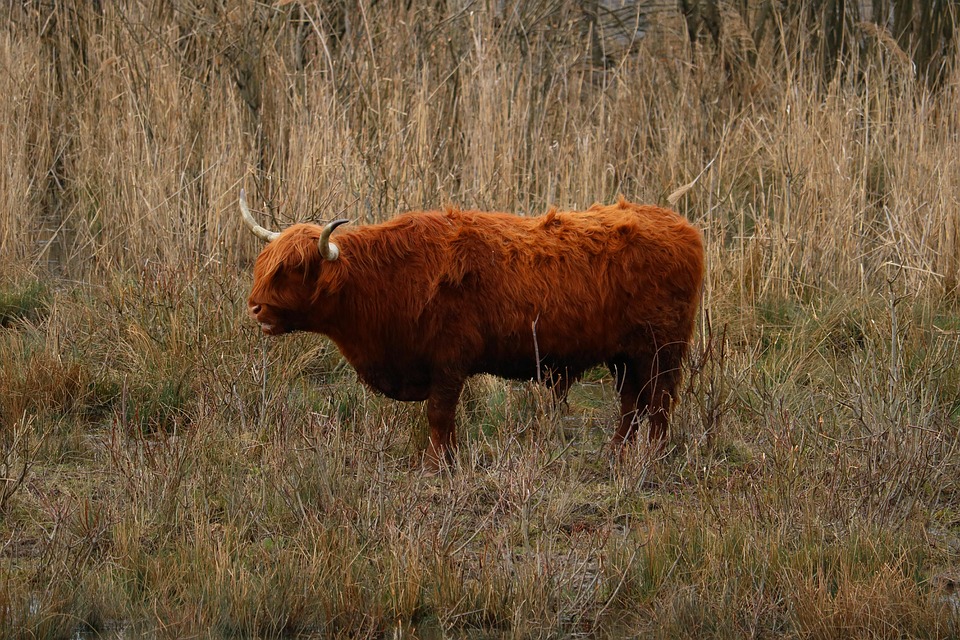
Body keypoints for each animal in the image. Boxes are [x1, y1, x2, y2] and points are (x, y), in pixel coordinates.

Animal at [240, 189, 703, 467]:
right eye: (265, 264)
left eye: (294, 269)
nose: (256, 307)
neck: (387, 280)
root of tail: (683, 227)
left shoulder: (449, 362)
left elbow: (439, 415)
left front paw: (437, 464)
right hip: (624, 355)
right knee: (631, 403)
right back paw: (616, 453)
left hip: (660, 349)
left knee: (659, 403)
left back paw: (652, 456)